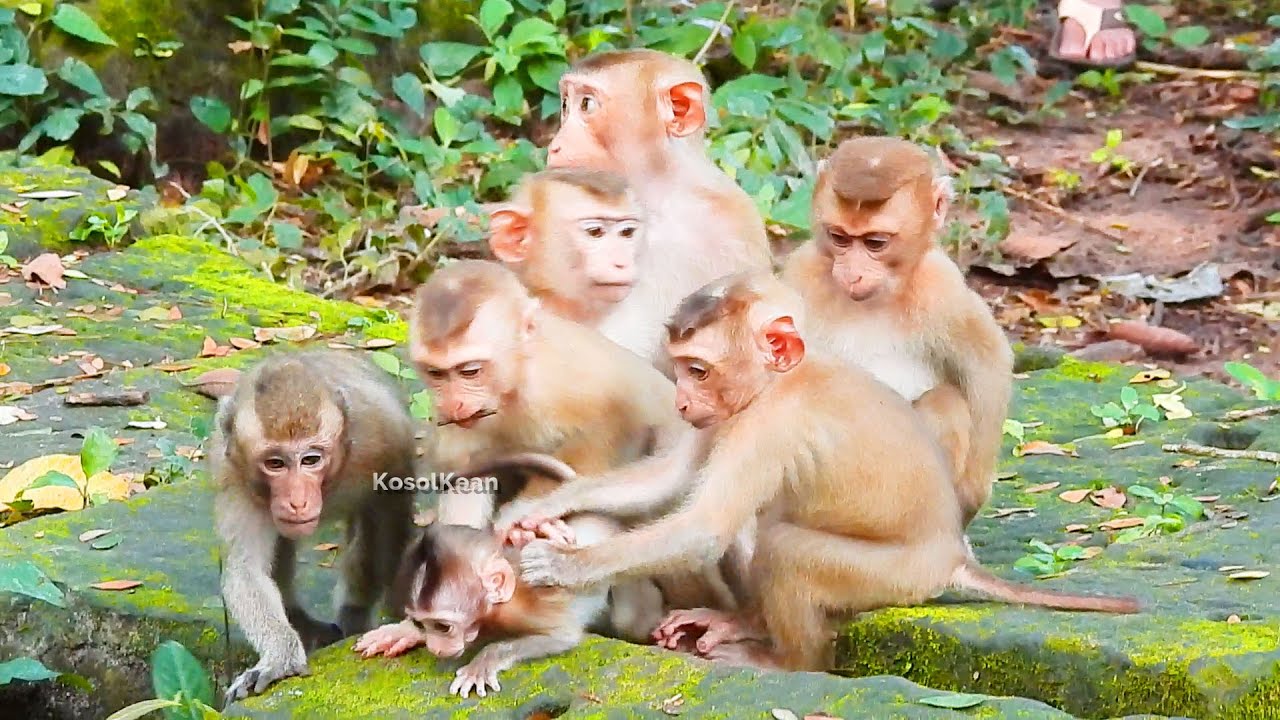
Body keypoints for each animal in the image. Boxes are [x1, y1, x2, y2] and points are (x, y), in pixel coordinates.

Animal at [211, 350, 418, 701]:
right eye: (275, 463)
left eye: (311, 459)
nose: (297, 500)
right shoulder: (234, 476)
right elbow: (246, 569)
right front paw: (280, 657)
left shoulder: (383, 436)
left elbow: (388, 506)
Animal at [353, 515, 656, 698]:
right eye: (422, 623)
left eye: (443, 627)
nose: (435, 648)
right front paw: (401, 632)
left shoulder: (528, 609)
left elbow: (562, 636)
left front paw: (484, 661)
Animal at [503, 271, 1139, 672]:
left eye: (697, 370)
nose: (682, 402)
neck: (780, 381)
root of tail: (952, 559)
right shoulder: (731, 417)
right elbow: (673, 479)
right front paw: (538, 508)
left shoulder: (767, 425)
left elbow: (704, 526)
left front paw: (562, 565)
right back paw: (746, 623)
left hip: (896, 581)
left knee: (784, 546)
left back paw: (783, 658)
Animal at [781, 135, 1014, 526]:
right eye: (839, 238)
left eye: (875, 243)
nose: (852, 273)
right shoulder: (801, 274)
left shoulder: (941, 287)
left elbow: (987, 361)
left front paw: (972, 493)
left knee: (944, 402)